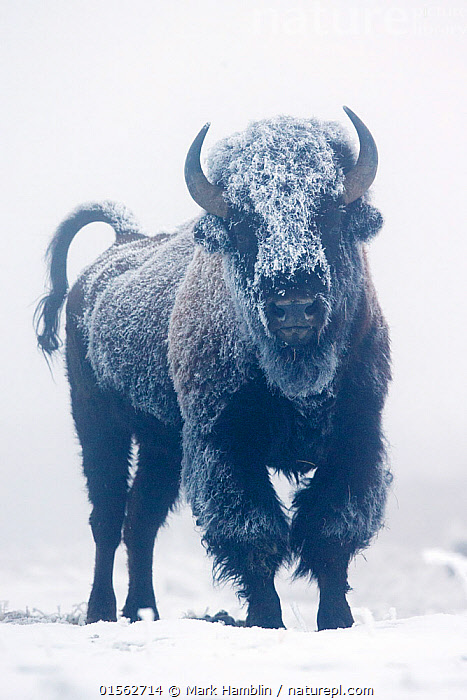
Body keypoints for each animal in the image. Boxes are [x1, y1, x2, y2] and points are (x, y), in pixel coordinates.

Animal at [36, 106, 391, 630]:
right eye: (245, 224)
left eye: (328, 214)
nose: (294, 306)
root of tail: (120, 246)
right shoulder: (223, 443)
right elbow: (253, 531)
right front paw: (267, 619)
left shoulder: (357, 435)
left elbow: (331, 529)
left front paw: (336, 620)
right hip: (98, 423)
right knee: (108, 515)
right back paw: (101, 611)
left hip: (162, 443)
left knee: (140, 520)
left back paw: (144, 612)